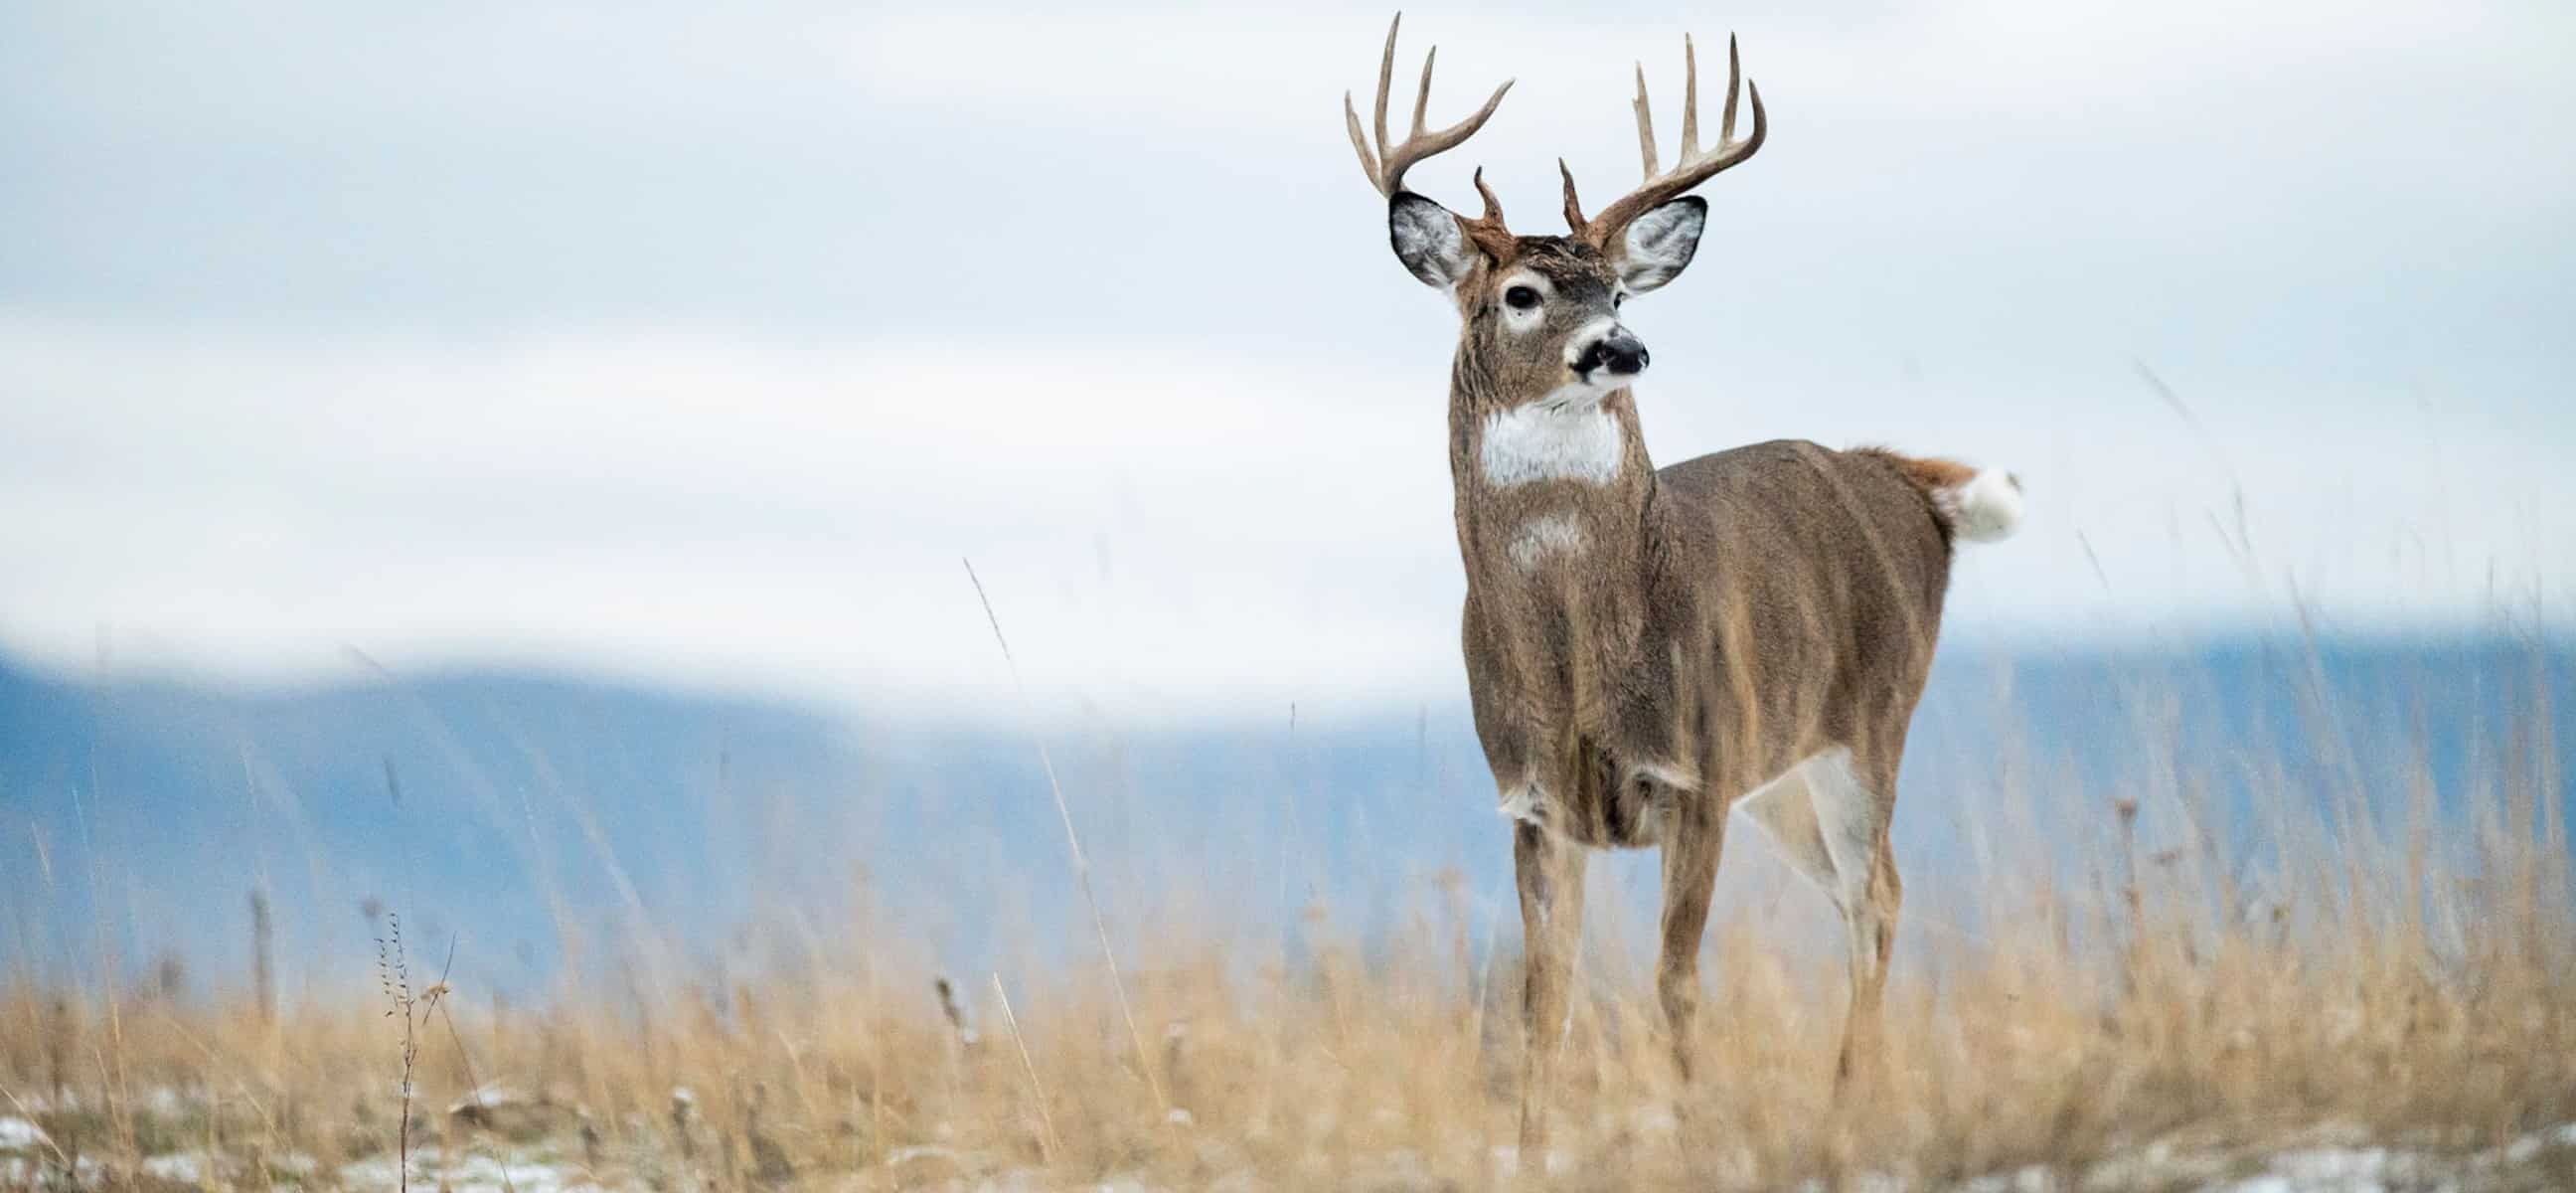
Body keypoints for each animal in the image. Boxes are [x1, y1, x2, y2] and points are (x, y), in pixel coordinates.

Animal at [1341, 15, 2025, 1152]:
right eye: (1521, 295)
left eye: (1615, 290)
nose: (1621, 347)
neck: (1579, 655)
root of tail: (1903, 482)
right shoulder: (1532, 801)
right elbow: (1544, 1002)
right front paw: (1532, 1152)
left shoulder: (1696, 773)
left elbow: (1676, 982)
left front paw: (1698, 1129)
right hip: (1783, 777)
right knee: (1860, 897)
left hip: (1869, 723)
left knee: (1879, 896)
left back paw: (1847, 1099)